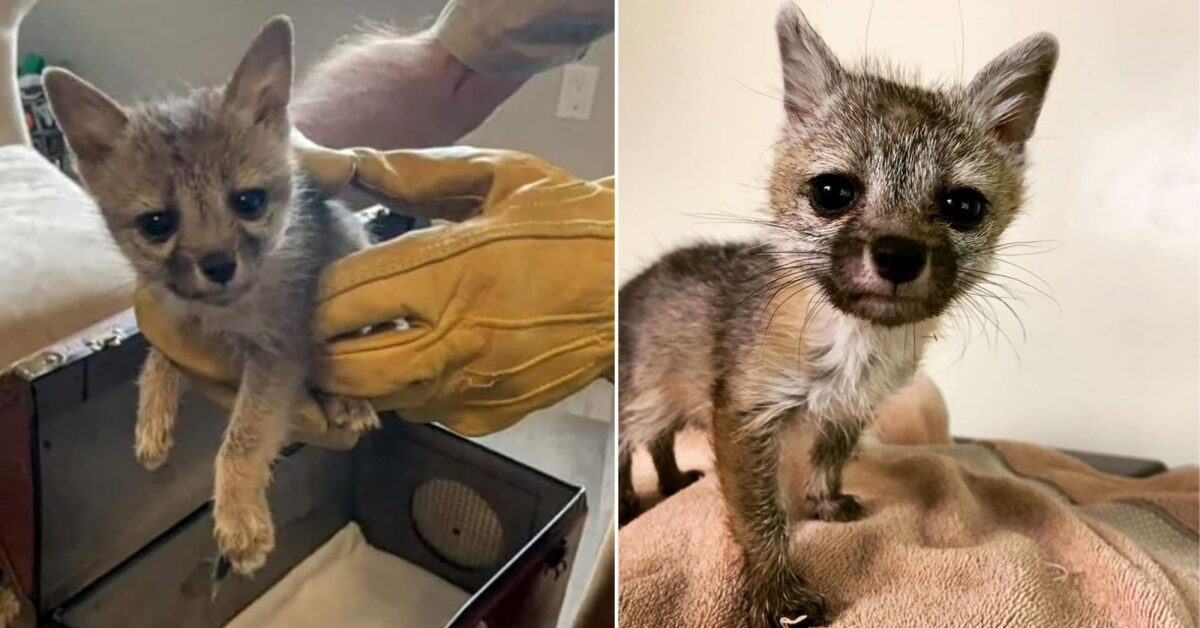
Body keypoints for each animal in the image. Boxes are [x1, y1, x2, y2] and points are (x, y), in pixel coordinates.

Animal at [44, 17, 380, 576]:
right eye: (157, 223)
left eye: (249, 201)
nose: (219, 266)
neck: (221, 315)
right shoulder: (174, 322)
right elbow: (157, 360)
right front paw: (152, 419)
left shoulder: (277, 353)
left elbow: (243, 438)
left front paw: (240, 519)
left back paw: (348, 402)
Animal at [617, 4, 1057, 626]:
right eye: (832, 192)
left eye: (963, 206)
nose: (898, 255)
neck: (854, 347)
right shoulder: (744, 414)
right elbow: (760, 517)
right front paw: (776, 593)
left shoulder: (850, 408)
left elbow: (830, 458)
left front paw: (824, 503)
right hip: (643, 402)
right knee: (628, 448)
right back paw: (630, 500)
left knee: (658, 443)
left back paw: (675, 479)